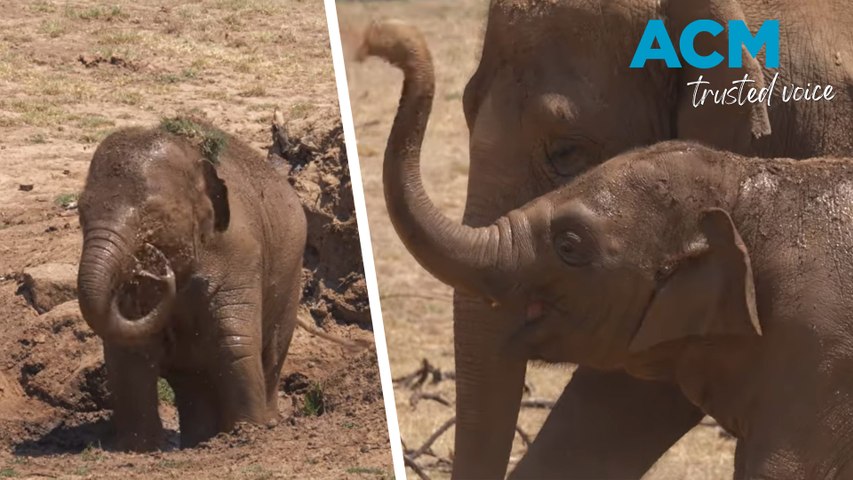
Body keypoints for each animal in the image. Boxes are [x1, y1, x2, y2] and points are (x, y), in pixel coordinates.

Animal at [76, 119, 307, 451]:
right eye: (81, 212)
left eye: (152, 215)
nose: (159, 270)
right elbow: (130, 353)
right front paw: (138, 447)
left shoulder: (241, 254)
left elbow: (234, 342)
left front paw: (249, 432)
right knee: (192, 379)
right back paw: (201, 439)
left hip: (291, 276)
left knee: (271, 355)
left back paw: (265, 423)